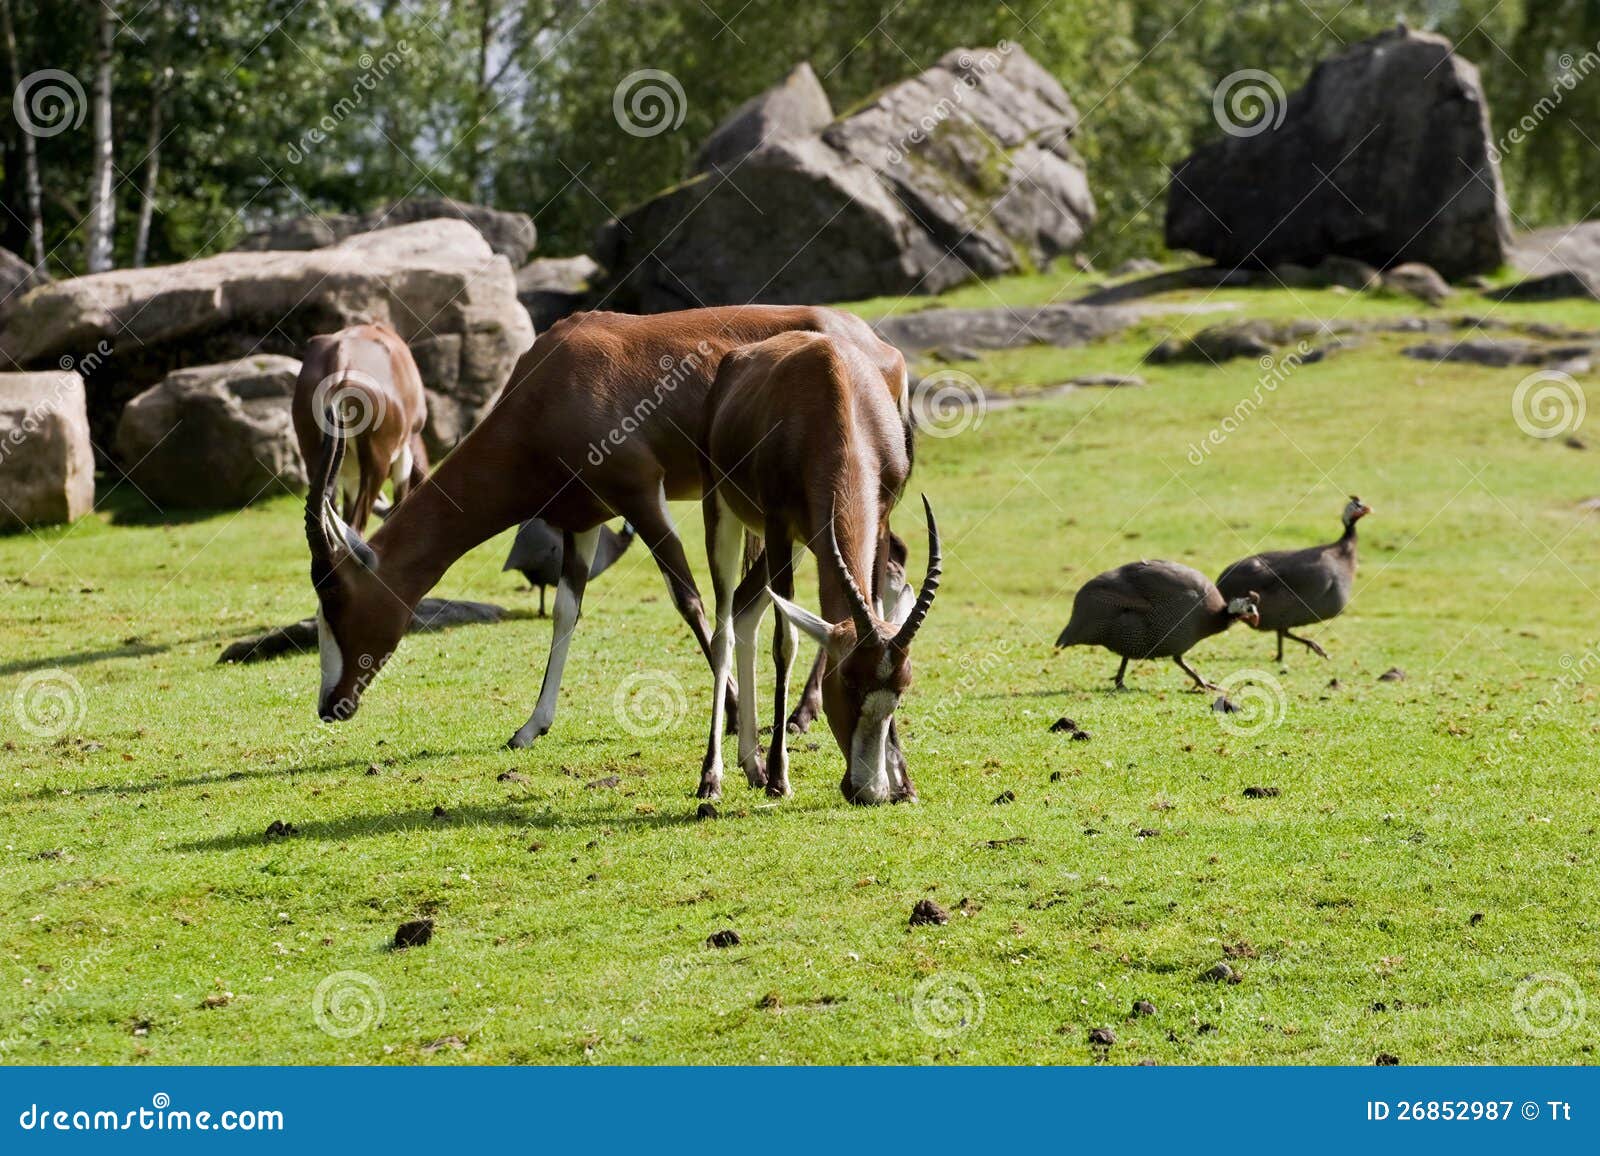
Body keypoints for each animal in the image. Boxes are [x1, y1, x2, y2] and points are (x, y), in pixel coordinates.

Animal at [293, 322, 430, 533]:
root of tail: (340, 356)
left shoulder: (350, 476)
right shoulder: (404, 456)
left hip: (316, 461)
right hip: (376, 464)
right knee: (356, 526)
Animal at [699, 331, 940, 804]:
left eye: (899, 691)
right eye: (846, 682)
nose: (869, 790)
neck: (835, 391)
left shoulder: (880, 519)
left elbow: (877, 608)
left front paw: (904, 783)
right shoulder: (776, 523)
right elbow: (785, 642)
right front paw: (780, 777)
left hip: (800, 541)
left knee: (745, 607)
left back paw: (751, 766)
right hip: (724, 512)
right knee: (724, 626)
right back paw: (713, 778)